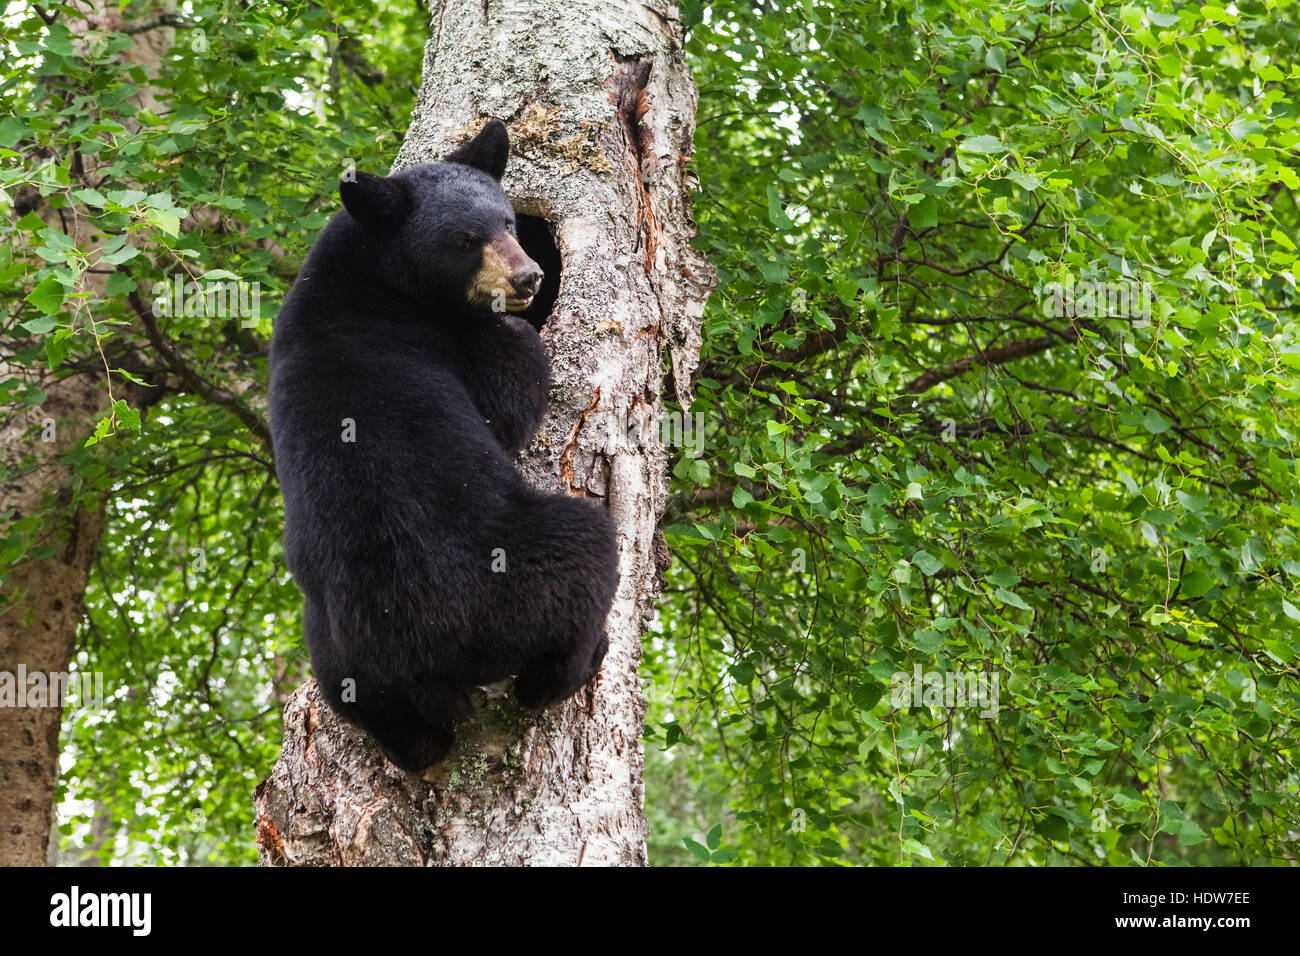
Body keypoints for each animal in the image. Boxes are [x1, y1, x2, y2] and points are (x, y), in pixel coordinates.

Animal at [268, 119, 619, 773]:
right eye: (464, 240)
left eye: (507, 220)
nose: (530, 278)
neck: (371, 277)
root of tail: (419, 661)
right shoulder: (445, 340)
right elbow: (510, 393)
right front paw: (522, 336)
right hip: (510, 580)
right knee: (583, 561)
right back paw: (584, 658)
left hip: (336, 655)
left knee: (384, 717)